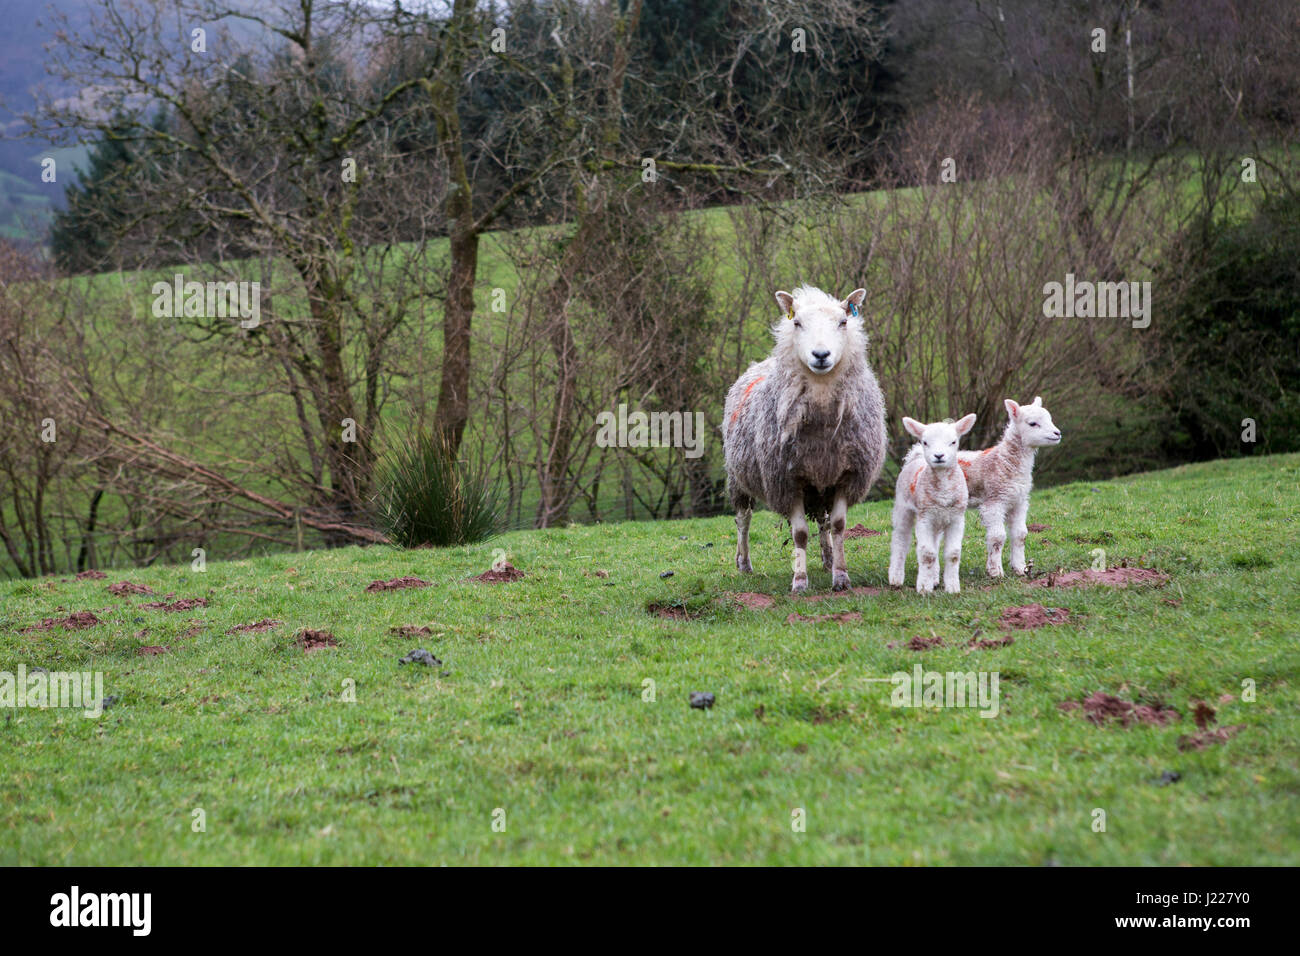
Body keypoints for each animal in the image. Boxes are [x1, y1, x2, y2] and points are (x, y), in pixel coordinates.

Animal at [722, 285, 887, 593]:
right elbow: (799, 533)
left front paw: (840, 576)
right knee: (743, 520)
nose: (820, 354)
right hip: (737, 476)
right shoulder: (788, 480)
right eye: (797, 323)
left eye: (843, 322)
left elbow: (838, 525)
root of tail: (760, 363)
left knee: (823, 522)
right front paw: (799, 582)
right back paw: (744, 563)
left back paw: (827, 556)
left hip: (821, 483)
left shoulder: (846, 475)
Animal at [888, 414, 978, 593]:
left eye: (953, 442)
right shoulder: (925, 518)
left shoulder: (957, 518)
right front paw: (924, 587)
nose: (939, 456)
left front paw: (952, 587)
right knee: (900, 539)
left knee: (935, 542)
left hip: (938, 519)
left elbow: (953, 554)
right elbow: (927, 554)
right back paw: (896, 577)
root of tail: (915, 457)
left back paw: (935, 578)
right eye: (925, 442)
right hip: (903, 506)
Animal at [956, 396, 1062, 577]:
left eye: (1050, 419)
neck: (1004, 461)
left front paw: (1020, 568)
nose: (1057, 433)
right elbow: (998, 537)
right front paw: (995, 572)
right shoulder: (994, 501)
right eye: (1033, 423)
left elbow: (1021, 534)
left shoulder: (1018, 501)